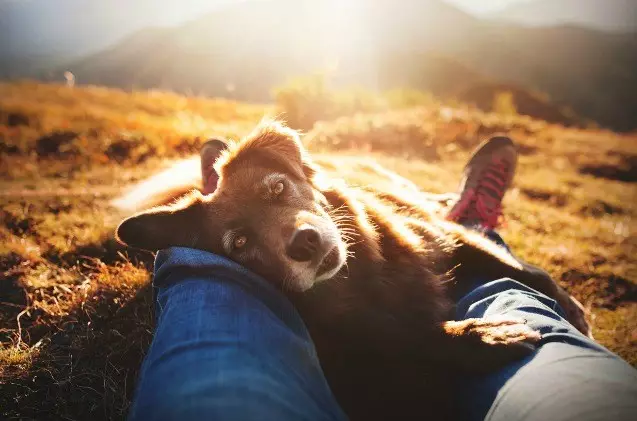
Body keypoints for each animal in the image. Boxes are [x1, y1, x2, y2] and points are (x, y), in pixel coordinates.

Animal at [115, 119, 592, 420]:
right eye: (241, 243)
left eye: (277, 188)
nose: (304, 243)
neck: (361, 273)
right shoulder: (358, 332)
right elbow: (408, 338)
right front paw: (482, 337)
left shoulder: (440, 238)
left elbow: (514, 267)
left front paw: (568, 305)